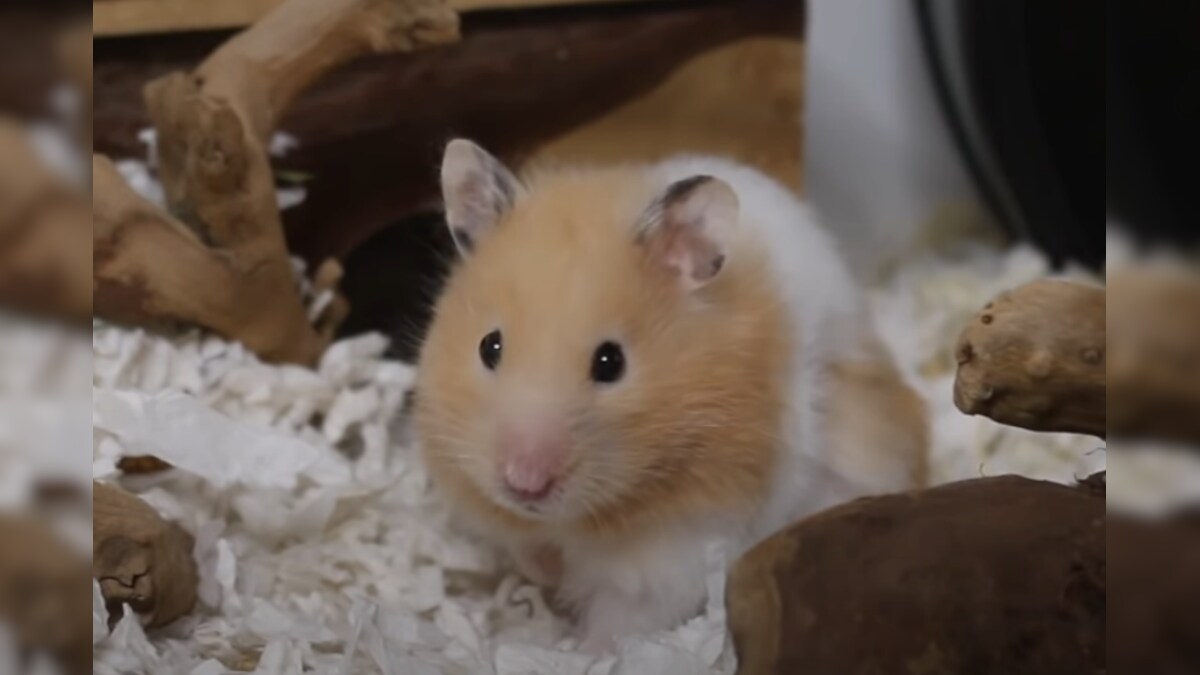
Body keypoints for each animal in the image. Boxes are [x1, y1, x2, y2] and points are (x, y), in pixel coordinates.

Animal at [415, 139, 928, 652]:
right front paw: (545, 572)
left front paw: (587, 652)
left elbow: (623, 618)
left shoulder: (669, 559)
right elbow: (523, 546)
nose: (524, 485)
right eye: (489, 346)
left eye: (611, 362)